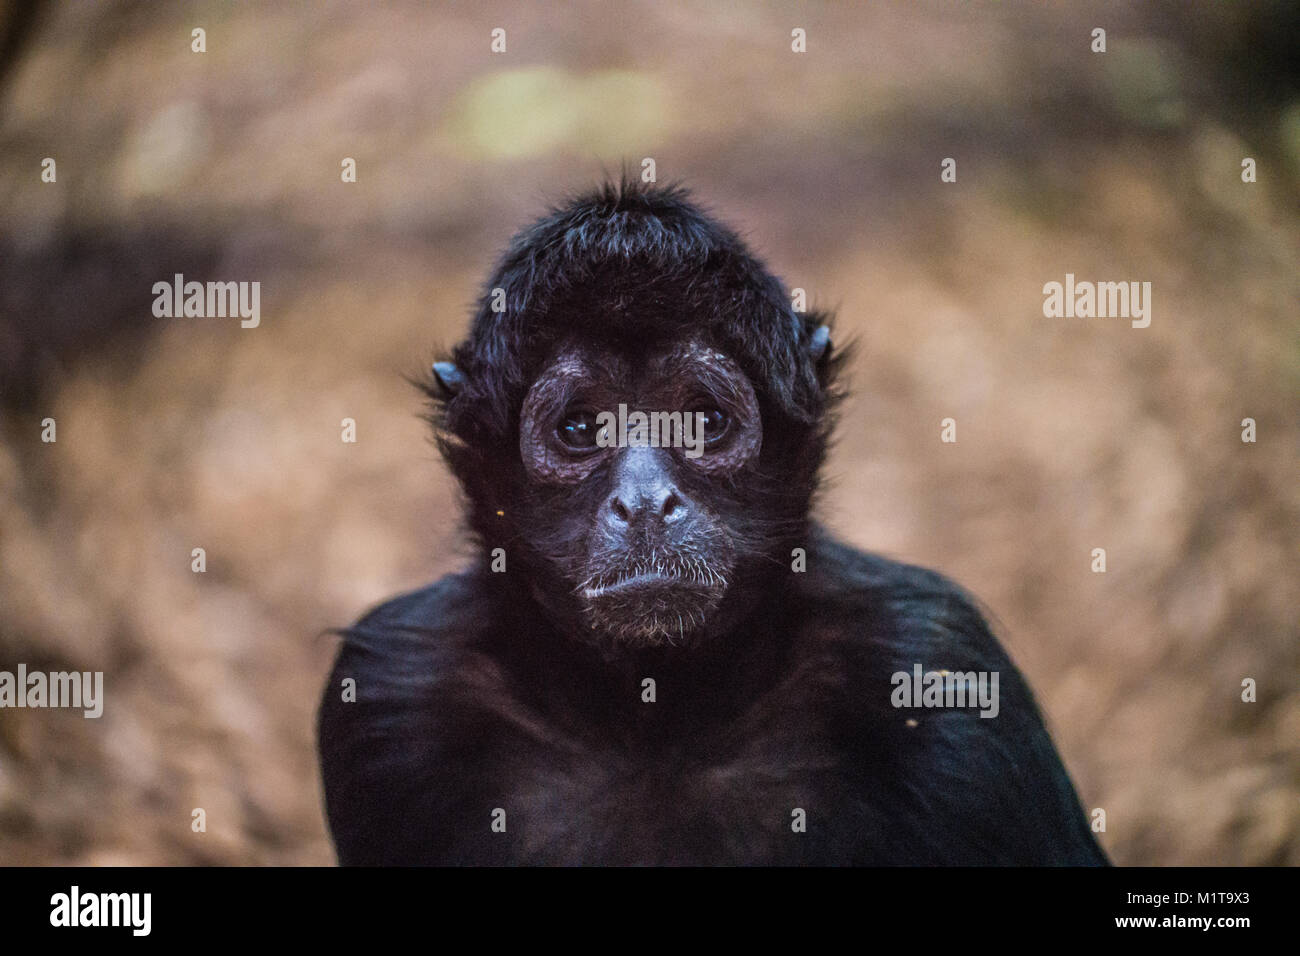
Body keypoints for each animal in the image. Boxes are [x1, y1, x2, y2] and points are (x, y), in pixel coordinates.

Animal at [317, 179, 1109, 866]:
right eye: (580, 428)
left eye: (701, 421)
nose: (645, 503)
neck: (655, 737)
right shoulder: (390, 691)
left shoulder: (938, 663)